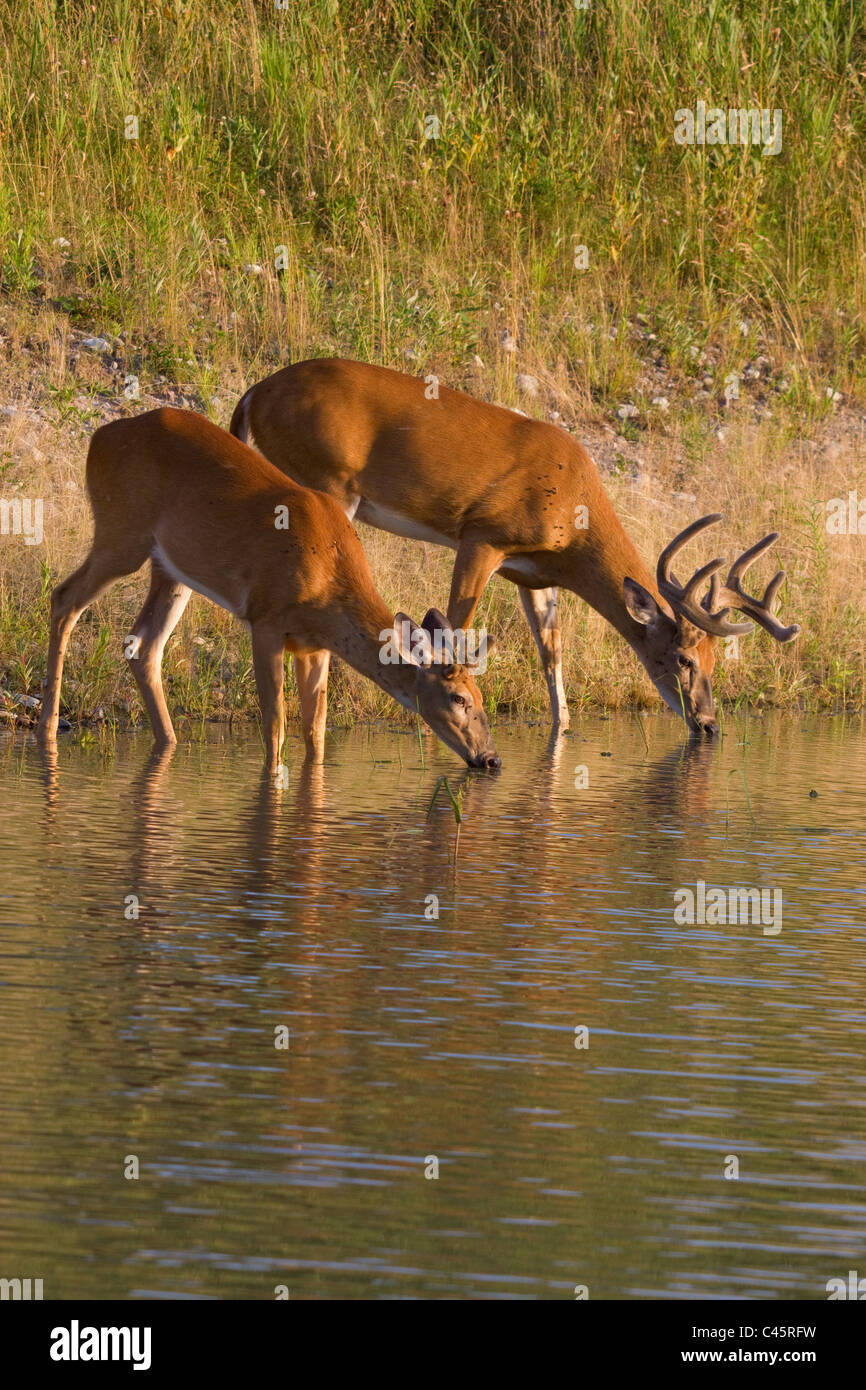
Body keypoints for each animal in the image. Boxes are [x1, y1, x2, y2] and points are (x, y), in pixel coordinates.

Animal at [35, 408, 501, 772]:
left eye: (483, 697)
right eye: (458, 697)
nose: (492, 758)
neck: (329, 580)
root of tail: (98, 437)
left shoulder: (315, 646)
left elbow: (315, 732)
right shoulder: (265, 619)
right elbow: (275, 726)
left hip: (171, 570)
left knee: (142, 644)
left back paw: (167, 742)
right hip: (121, 532)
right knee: (64, 599)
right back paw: (47, 731)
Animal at [229, 358, 800, 736]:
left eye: (714, 660)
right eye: (682, 658)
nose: (708, 724)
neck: (575, 510)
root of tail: (254, 394)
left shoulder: (535, 574)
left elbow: (551, 653)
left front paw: (561, 733)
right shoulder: (483, 535)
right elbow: (457, 625)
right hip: (326, 480)